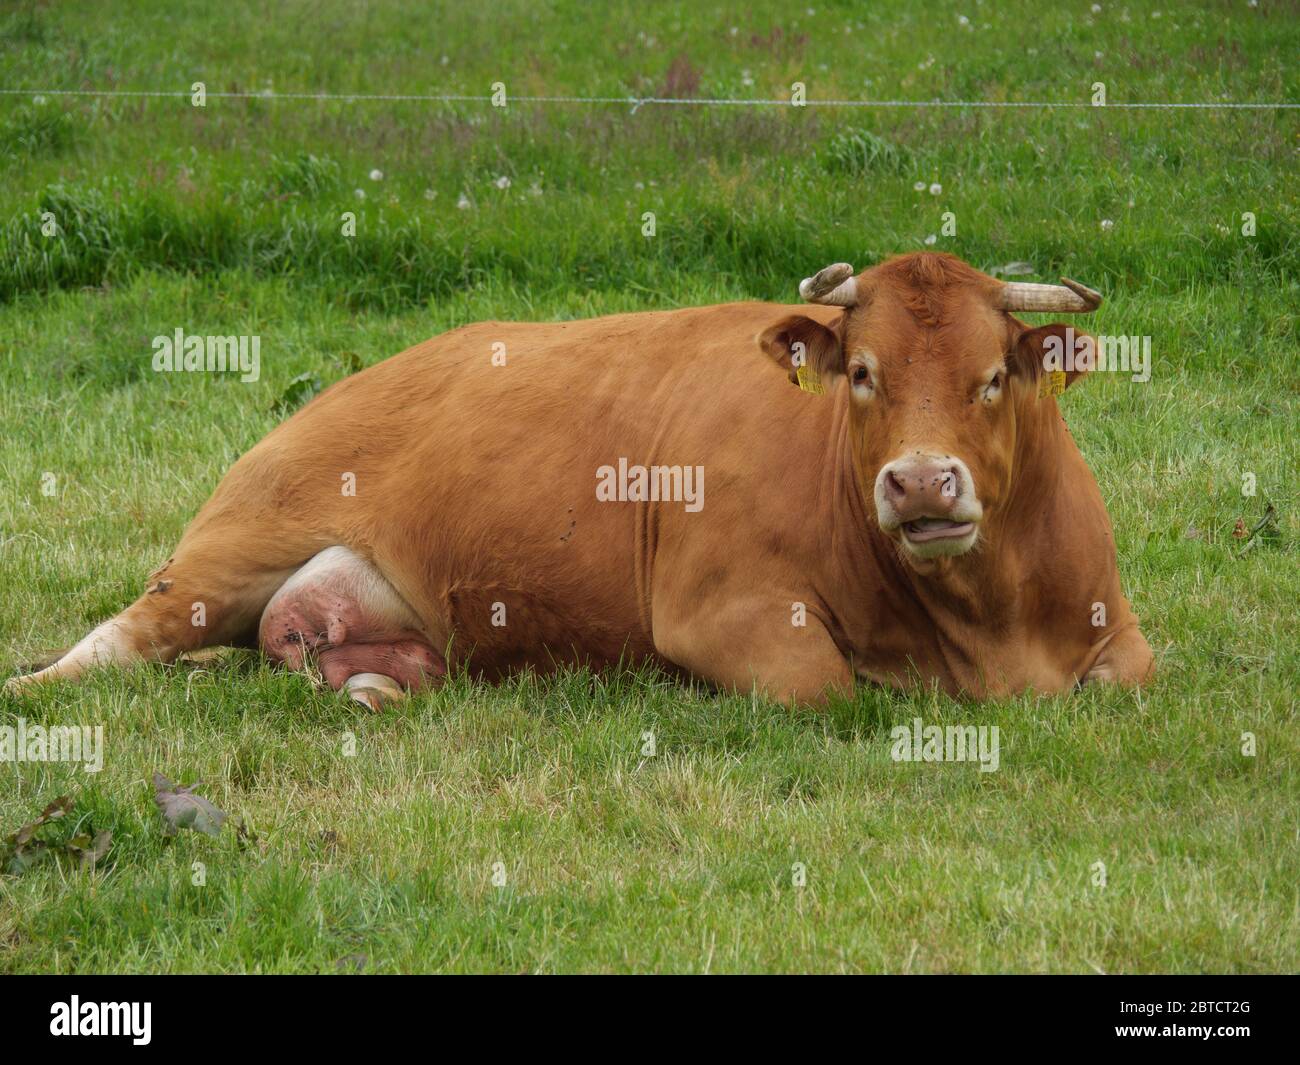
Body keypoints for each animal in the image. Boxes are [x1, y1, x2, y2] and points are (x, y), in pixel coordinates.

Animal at [6, 252, 1154, 707]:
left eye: (994, 375)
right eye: (862, 373)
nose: (920, 486)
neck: (981, 622)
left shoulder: (1121, 633)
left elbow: (1129, 674)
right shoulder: (723, 612)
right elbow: (830, 688)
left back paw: (371, 687)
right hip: (226, 552)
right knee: (118, 643)